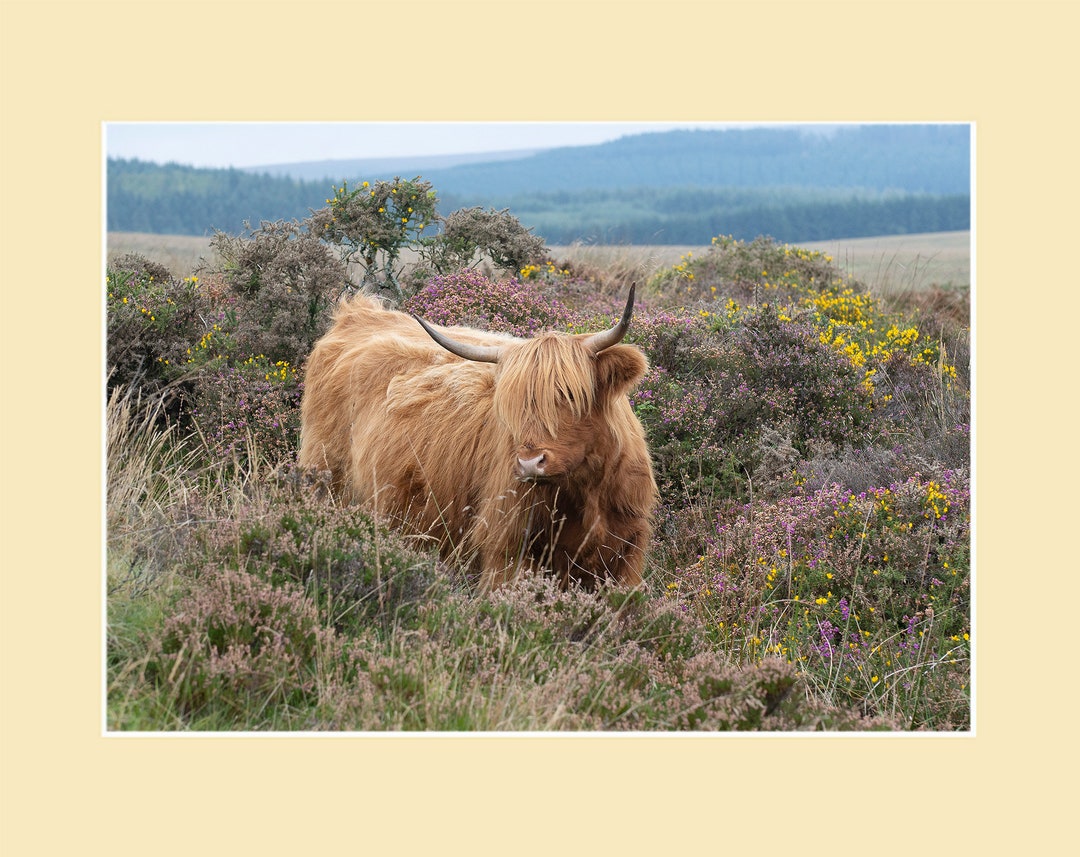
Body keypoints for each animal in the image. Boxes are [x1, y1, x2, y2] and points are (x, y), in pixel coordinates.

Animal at [297, 285, 657, 592]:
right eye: (510, 403)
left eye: (569, 395)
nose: (529, 463)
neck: (584, 491)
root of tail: (357, 313)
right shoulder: (505, 547)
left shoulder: (627, 552)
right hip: (324, 476)